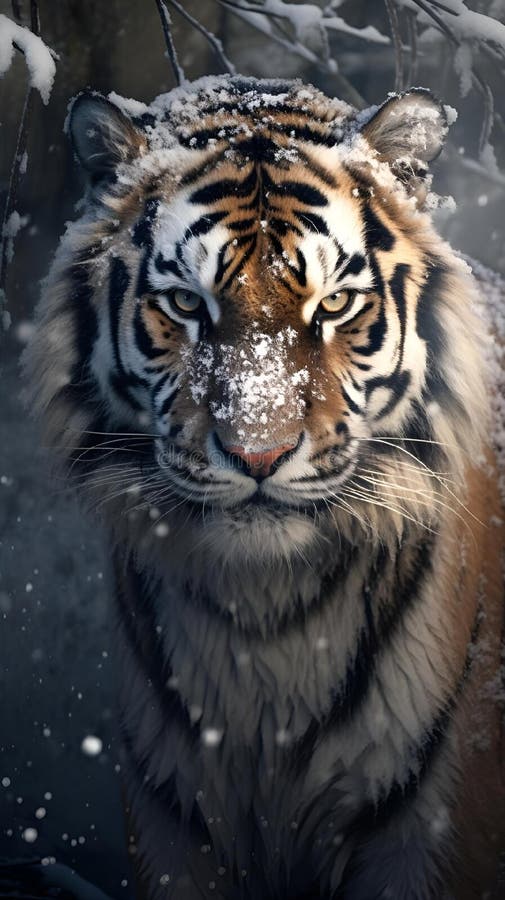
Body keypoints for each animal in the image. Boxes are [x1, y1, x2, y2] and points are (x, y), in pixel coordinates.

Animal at [25, 75, 505, 899]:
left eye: (334, 305)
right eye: (187, 304)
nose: (259, 454)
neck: (266, 626)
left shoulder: (433, 834)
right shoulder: (176, 825)